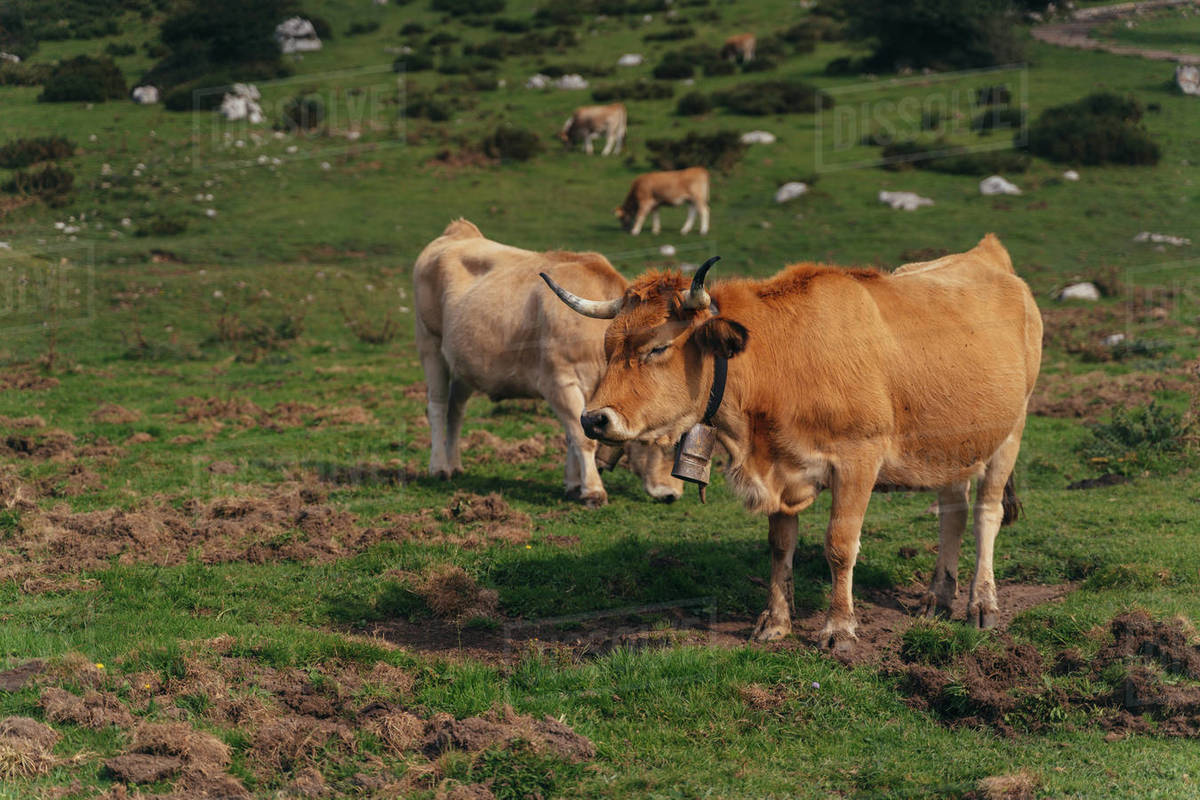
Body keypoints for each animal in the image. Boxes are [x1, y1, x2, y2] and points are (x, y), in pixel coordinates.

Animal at [413, 219, 683, 507]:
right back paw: (439, 468)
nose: (672, 494)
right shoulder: (559, 382)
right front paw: (592, 491)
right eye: (663, 437)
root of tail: (458, 232)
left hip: (465, 364)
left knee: (456, 409)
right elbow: (581, 438)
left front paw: (574, 485)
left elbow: (574, 435)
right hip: (430, 345)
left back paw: (454, 465)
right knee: (438, 407)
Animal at [540, 235, 1042, 651]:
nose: (593, 419)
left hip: (1010, 433)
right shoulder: (780, 468)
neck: (783, 359)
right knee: (952, 514)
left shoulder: (859, 459)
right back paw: (938, 598)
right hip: (954, 446)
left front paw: (839, 629)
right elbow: (780, 547)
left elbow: (840, 544)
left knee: (986, 515)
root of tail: (987, 255)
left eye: (657, 348)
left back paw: (982, 604)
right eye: (609, 347)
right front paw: (776, 622)